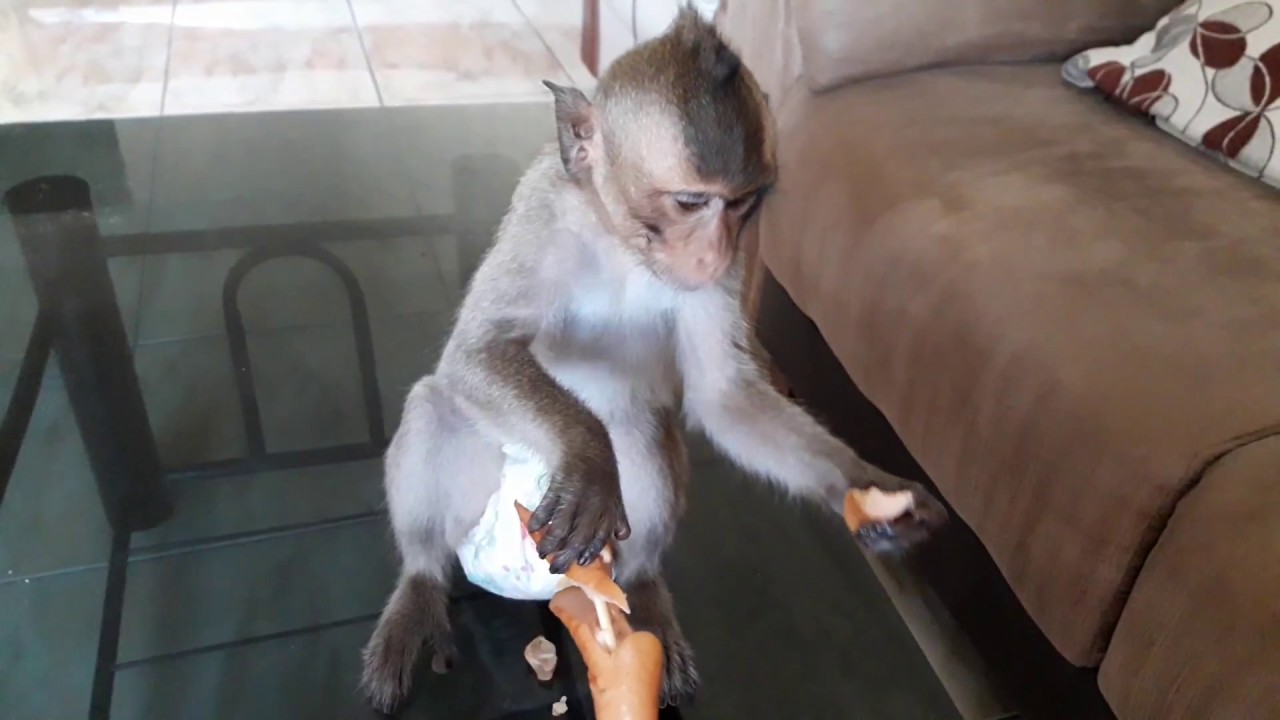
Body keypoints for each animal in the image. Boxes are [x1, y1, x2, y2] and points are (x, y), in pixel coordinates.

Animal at [359, 7, 948, 713]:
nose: (711, 254)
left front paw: (865, 487)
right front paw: (587, 456)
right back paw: (421, 583)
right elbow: (476, 351)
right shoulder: (540, 208)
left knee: (643, 433)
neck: (622, 244)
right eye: (691, 201)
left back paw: (639, 588)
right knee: (438, 405)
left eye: (742, 202)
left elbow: (725, 396)